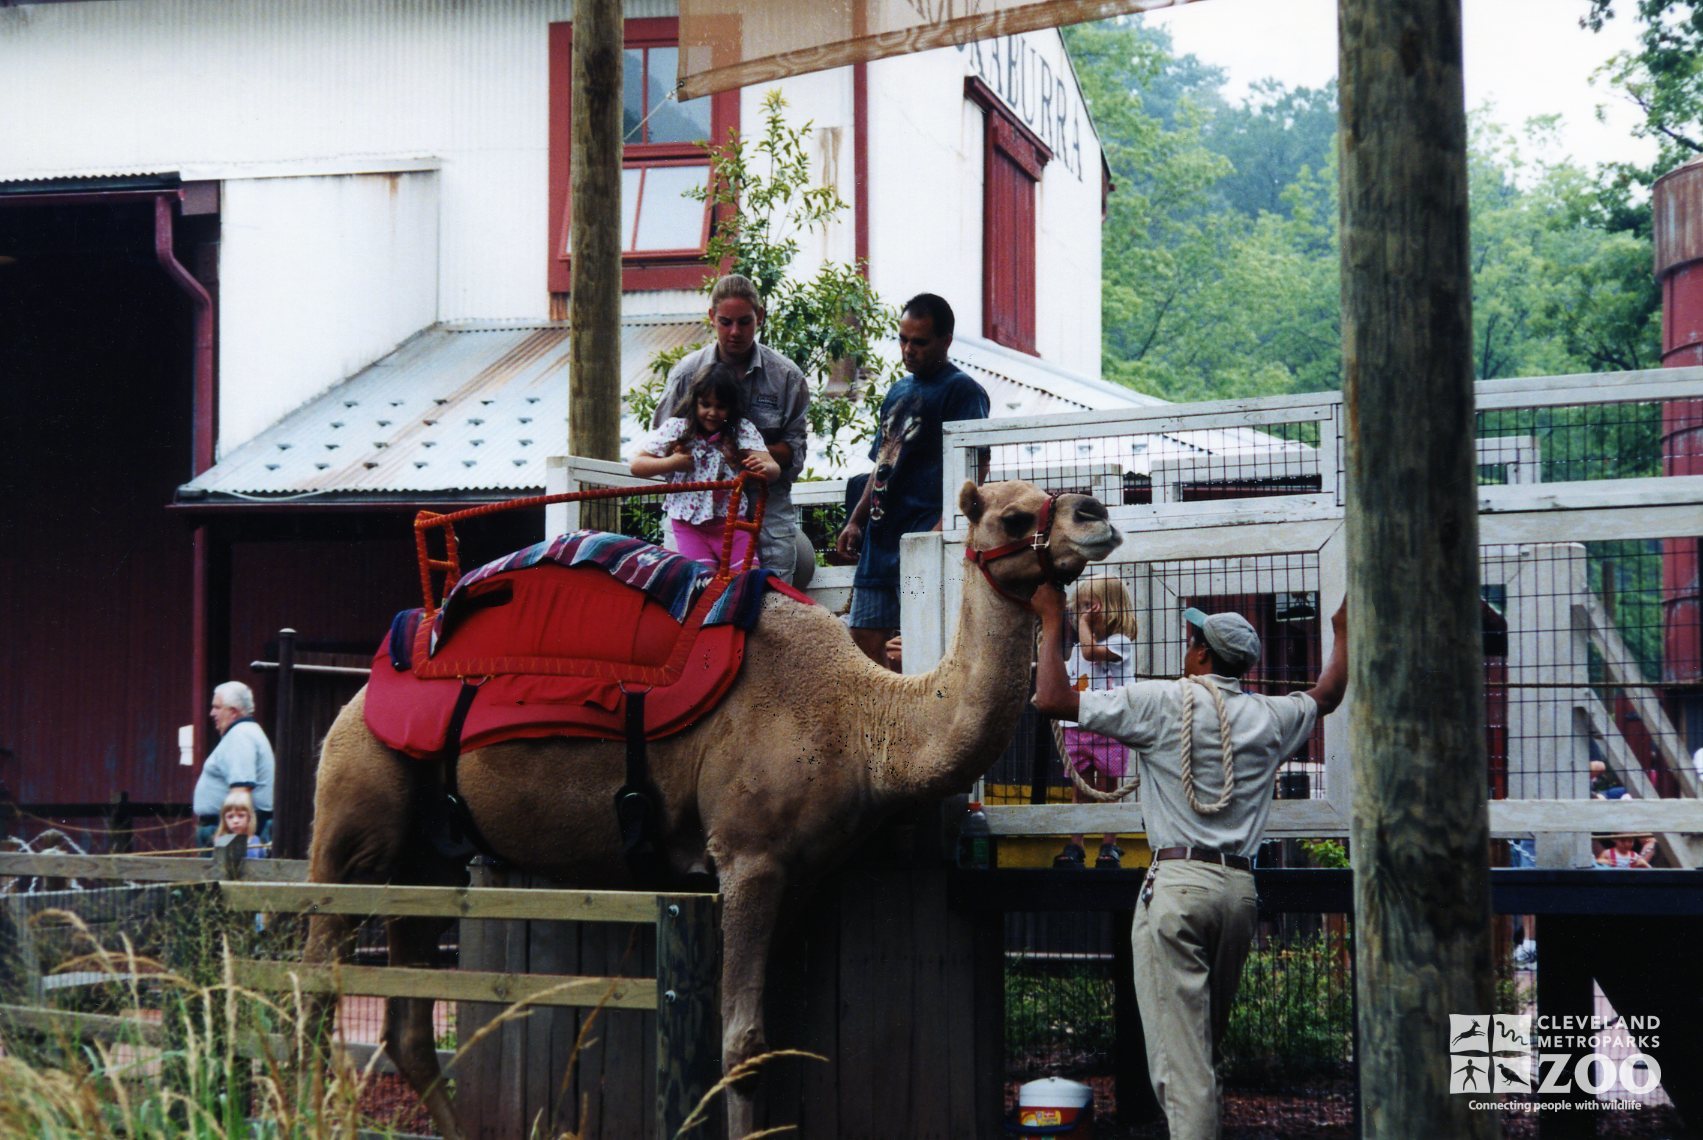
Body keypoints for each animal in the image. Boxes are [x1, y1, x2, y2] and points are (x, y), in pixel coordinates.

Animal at [303, 479, 1122, 1138]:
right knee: (314, 980)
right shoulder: (747, 856)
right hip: (351, 820)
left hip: (427, 860)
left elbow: (766, 1034)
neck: (866, 721)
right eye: (1013, 517)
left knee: (408, 1026)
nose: (1096, 513)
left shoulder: (800, 875)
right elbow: (741, 1043)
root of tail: (359, 690)